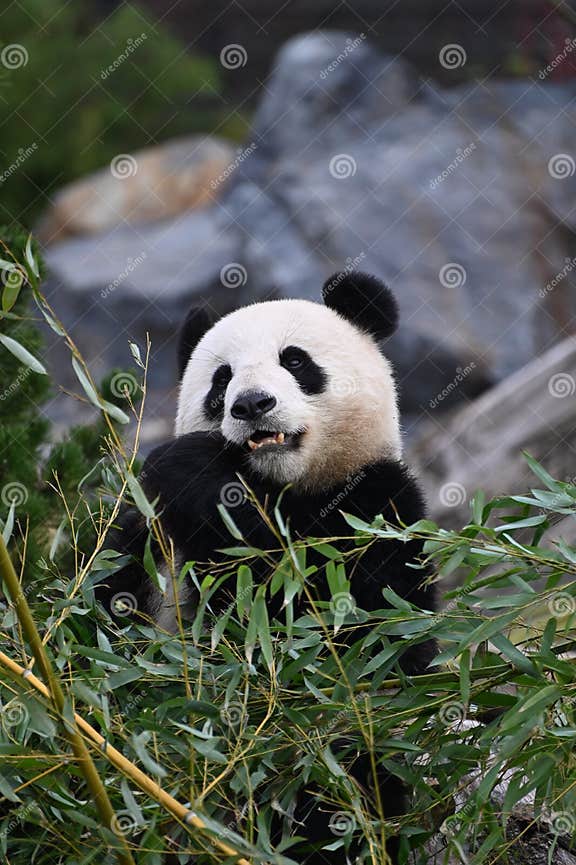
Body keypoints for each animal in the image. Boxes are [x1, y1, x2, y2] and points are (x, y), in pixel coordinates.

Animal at [97, 271, 436, 864]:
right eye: (221, 380)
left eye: (295, 360)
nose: (253, 404)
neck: (281, 488)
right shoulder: (147, 539)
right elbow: (107, 614)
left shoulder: (377, 513)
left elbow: (337, 631)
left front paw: (196, 473)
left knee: (336, 784)